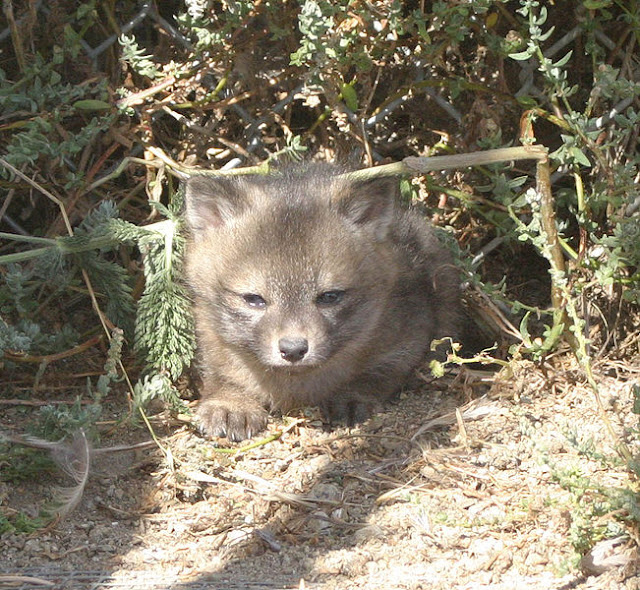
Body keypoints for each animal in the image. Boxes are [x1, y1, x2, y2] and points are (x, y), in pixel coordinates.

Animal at [184, 162, 463, 441]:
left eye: (329, 296)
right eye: (254, 299)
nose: (293, 350)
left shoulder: (409, 337)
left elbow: (376, 375)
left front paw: (350, 396)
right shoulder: (210, 337)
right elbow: (222, 376)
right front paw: (231, 403)